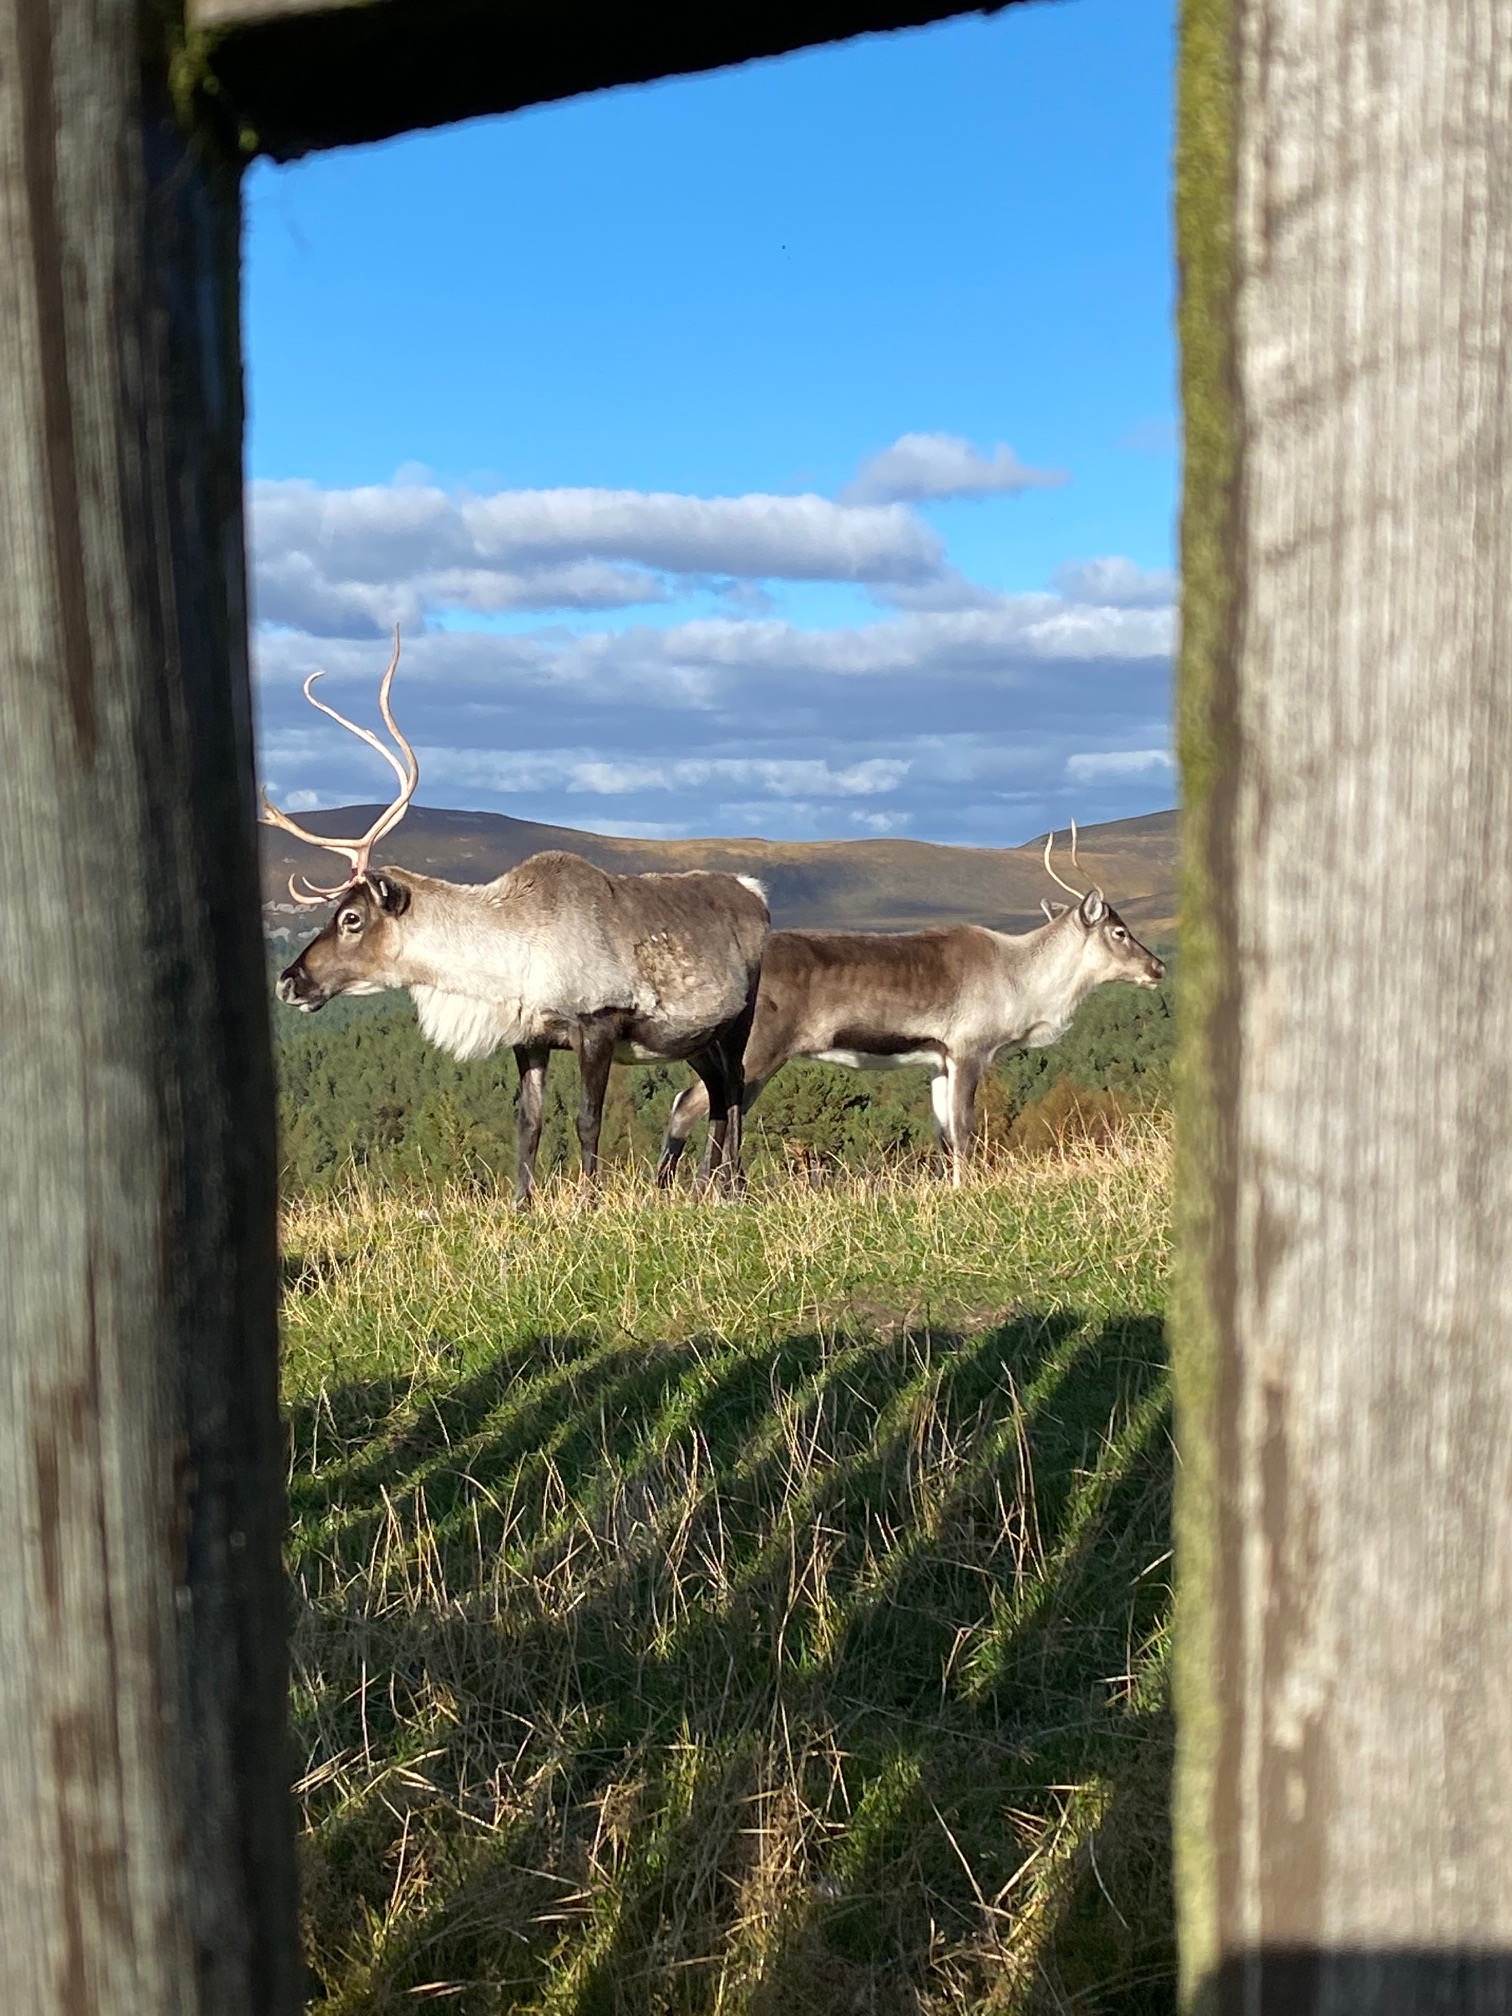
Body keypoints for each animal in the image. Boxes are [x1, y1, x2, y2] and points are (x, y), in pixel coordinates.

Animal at [264, 632, 770, 1206]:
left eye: (350, 917)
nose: (289, 981)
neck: (510, 956)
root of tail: (755, 894)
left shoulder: (598, 1024)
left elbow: (588, 1120)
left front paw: (588, 1201)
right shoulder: (529, 1038)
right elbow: (529, 1124)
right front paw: (521, 1204)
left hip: (738, 1019)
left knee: (734, 1089)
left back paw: (732, 1185)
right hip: (693, 1037)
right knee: (716, 1091)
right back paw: (712, 1187)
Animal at [656, 825, 1165, 1188]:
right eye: (1119, 931)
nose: (1158, 967)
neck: (1020, 979)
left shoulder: (938, 1061)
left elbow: (944, 1135)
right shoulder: (968, 1050)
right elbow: (963, 1131)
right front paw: (966, 1191)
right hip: (760, 1052)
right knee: (689, 1104)